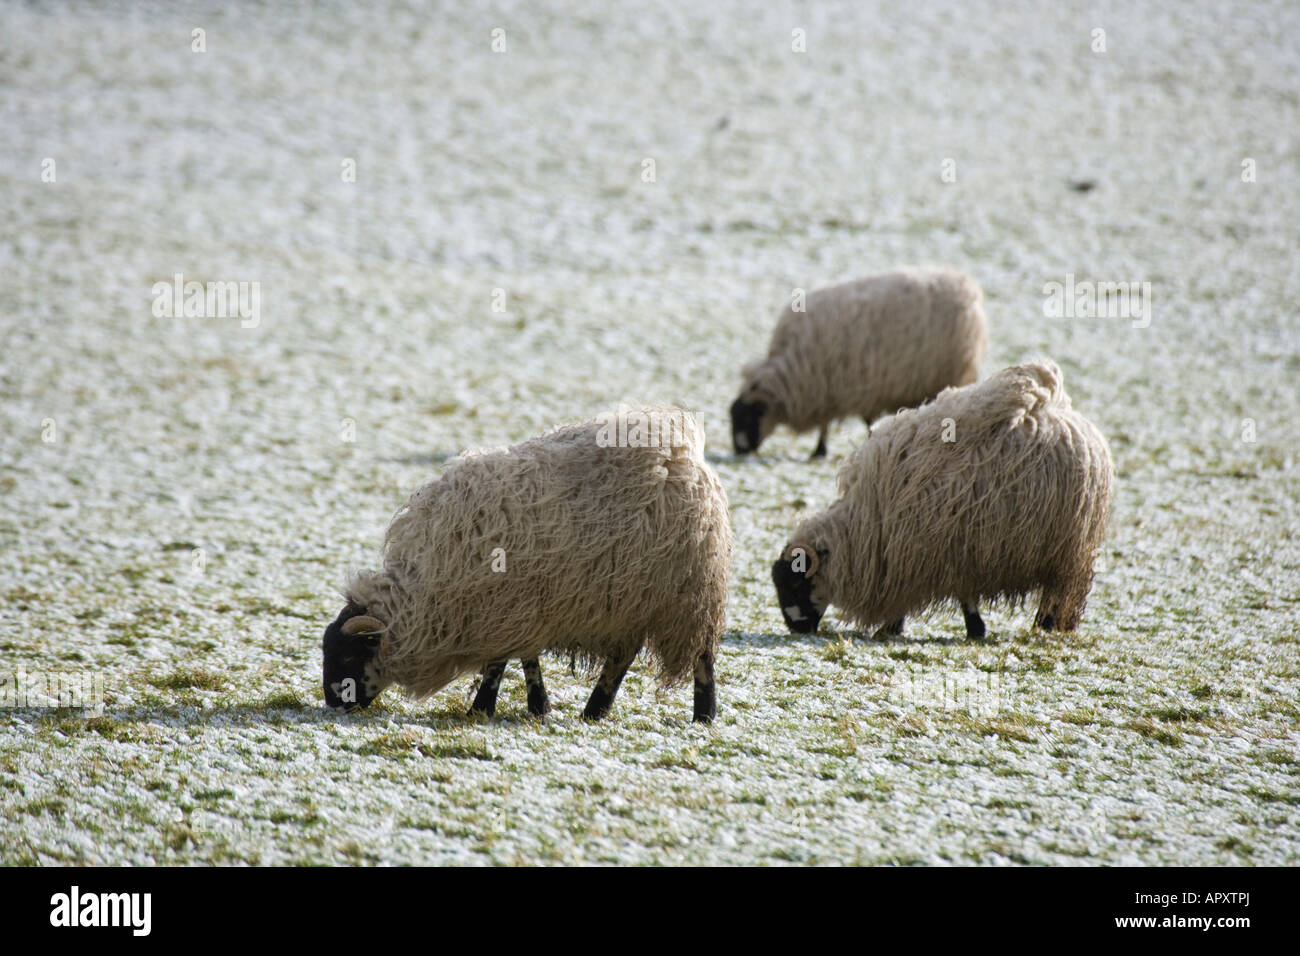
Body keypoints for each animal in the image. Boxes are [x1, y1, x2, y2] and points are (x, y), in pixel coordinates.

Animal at [322, 404, 732, 723]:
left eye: (348, 654)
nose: (332, 703)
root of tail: (686, 453)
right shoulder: (522, 609)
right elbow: (526, 659)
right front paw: (537, 707)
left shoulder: (504, 607)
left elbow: (499, 663)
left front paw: (482, 708)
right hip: (632, 598)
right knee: (622, 656)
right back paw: (595, 711)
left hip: (686, 593)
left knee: (701, 656)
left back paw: (703, 716)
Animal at [731, 268, 988, 458]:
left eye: (746, 417)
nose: (738, 451)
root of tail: (969, 287)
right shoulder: (828, 391)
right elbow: (828, 423)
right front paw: (821, 449)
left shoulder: (848, 389)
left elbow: (861, 421)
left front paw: (823, 449)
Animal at [771, 360, 1112, 639]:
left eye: (796, 584)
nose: (797, 629)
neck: (863, 528)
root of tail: (1069, 415)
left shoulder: (939, 551)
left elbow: (962, 596)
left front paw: (968, 628)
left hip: (1069, 550)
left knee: (1058, 590)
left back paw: (1047, 624)